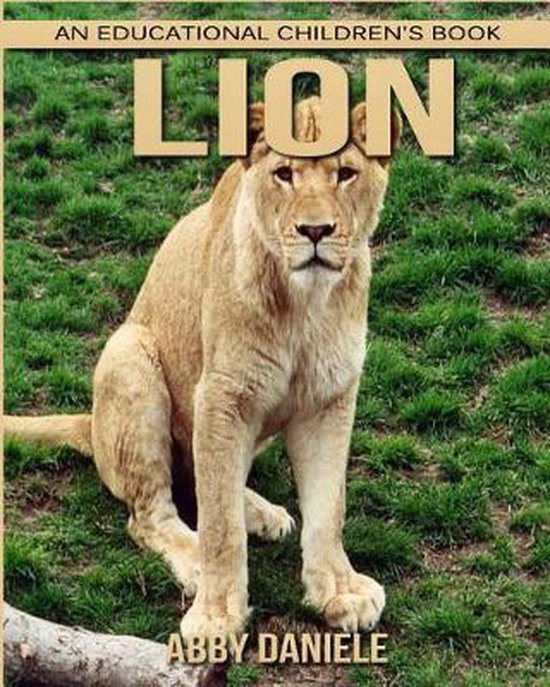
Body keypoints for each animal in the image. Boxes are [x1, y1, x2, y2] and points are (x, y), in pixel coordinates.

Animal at [5, 97, 401, 640]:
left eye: (345, 174)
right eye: (284, 175)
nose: (316, 231)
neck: (306, 304)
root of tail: (93, 425)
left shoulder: (330, 397)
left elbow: (328, 508)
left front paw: (340, 592)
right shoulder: (220, 396)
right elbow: (219, 527)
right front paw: (215, 617)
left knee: (201, 473)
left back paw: (259, 510)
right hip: (130, 352)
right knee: (151, 513)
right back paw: (194, 558)